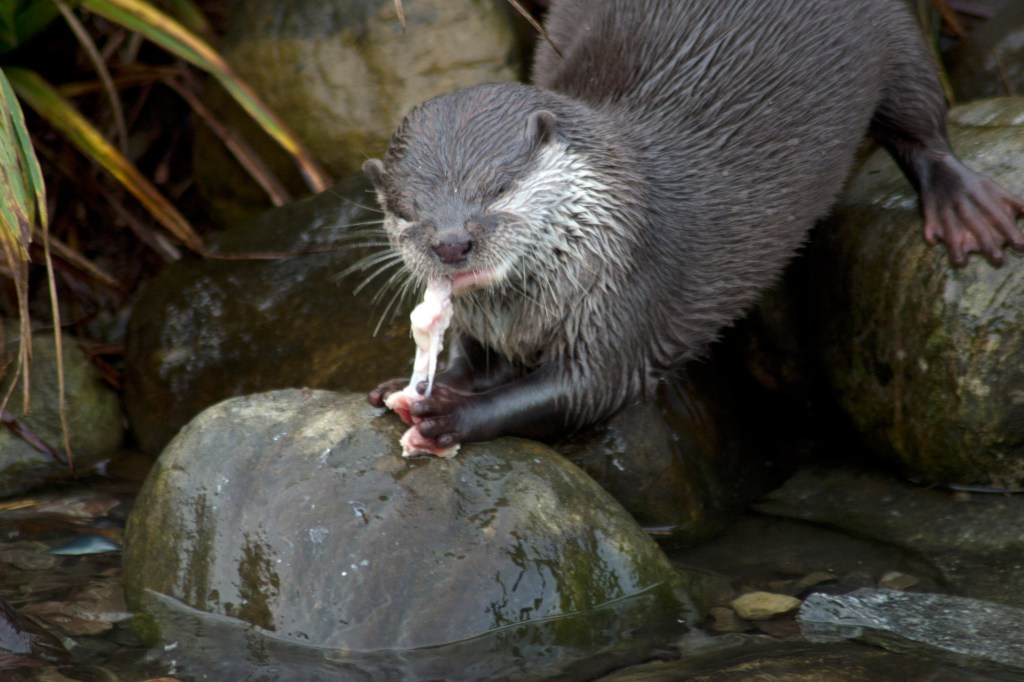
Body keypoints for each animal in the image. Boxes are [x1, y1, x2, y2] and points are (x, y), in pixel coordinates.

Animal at [364, 0, 1024, 452]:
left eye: (498, 187)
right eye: (406, 207)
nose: (452, 242)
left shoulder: (628, 294)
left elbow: (590, 389)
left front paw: (450, 417)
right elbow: (481, 366)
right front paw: (423, 384)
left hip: (891, 33)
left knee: (919, 113)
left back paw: (964, 206)